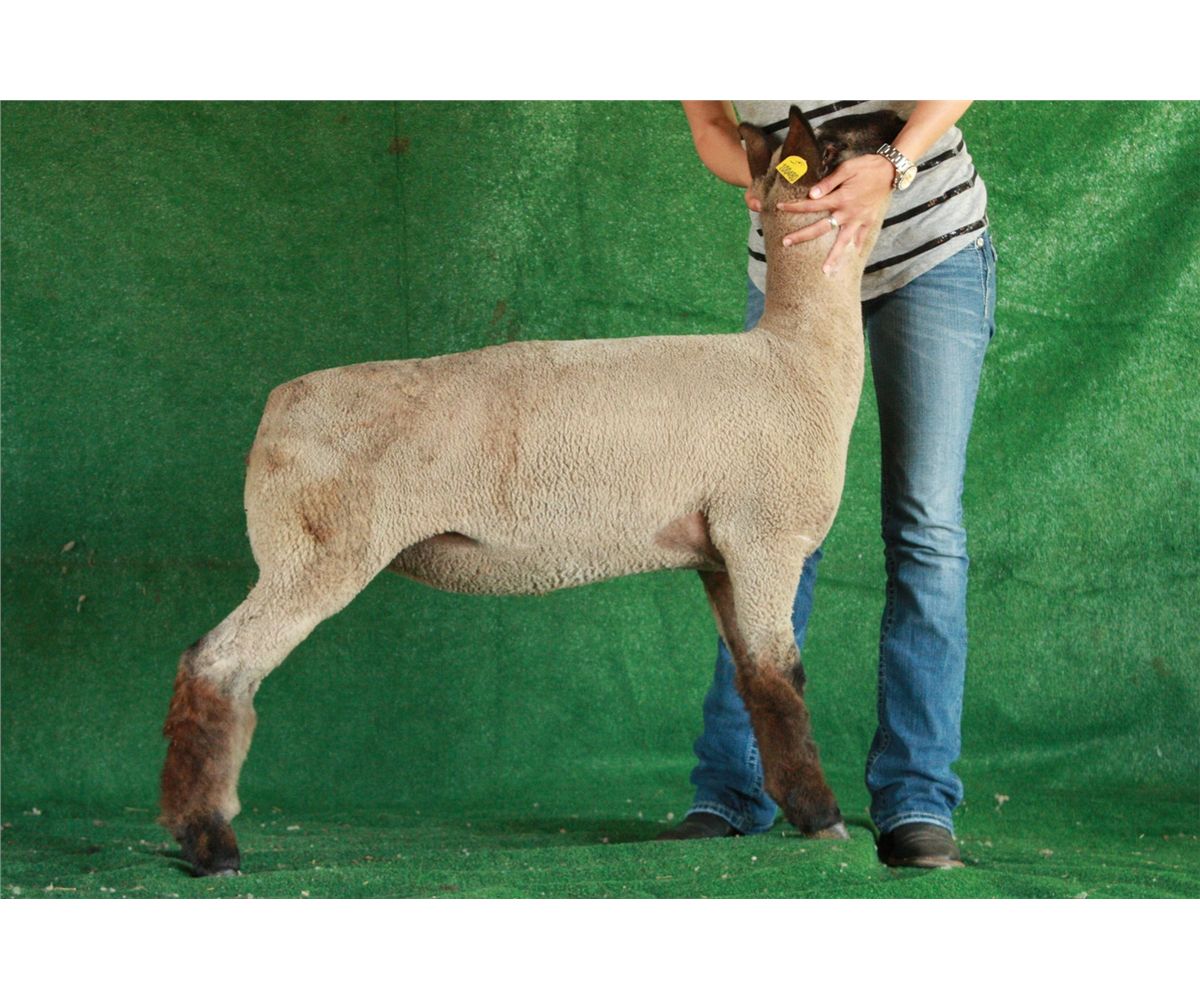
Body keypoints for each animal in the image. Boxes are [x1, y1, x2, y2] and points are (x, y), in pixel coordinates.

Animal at [160, 107, 903, 876]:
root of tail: (275, 413)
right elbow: (783, 679)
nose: (899, 123)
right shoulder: (764, 535)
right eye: (843, 138)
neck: (797, 358)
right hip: (317, 549)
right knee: (217, 664)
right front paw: (824, 819)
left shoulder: (720, 555)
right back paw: (209, 842)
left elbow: (752, 681)